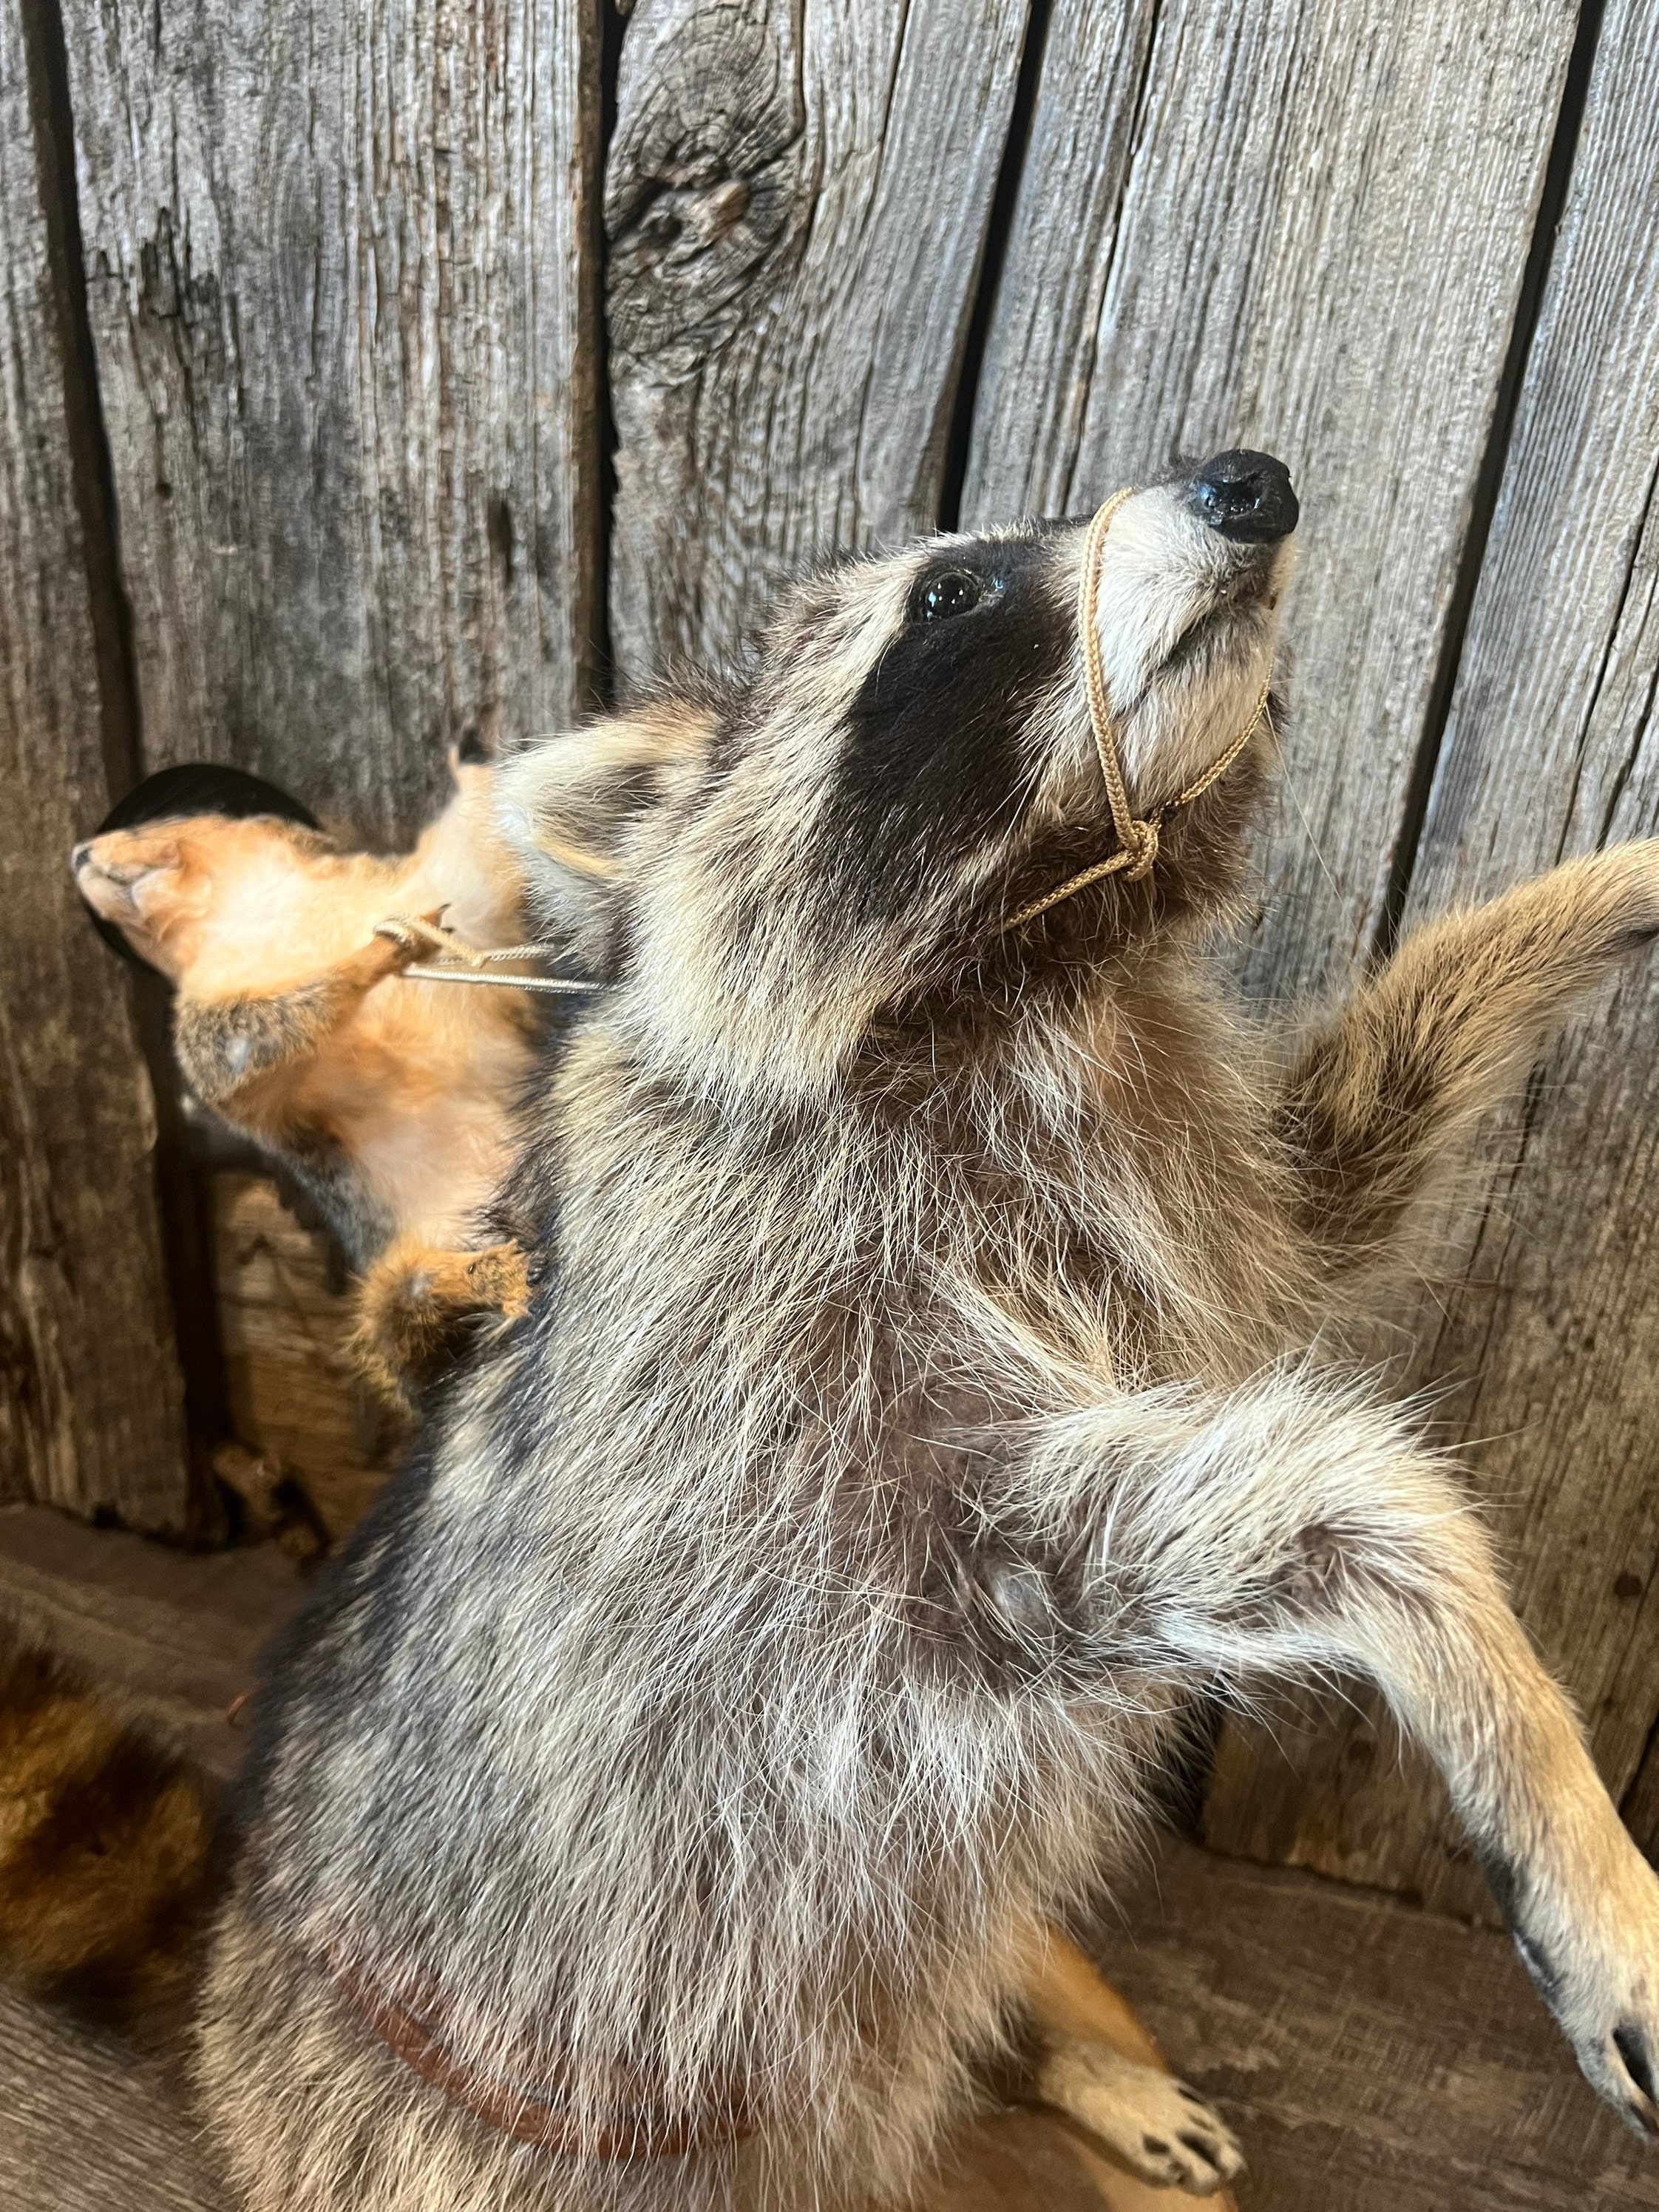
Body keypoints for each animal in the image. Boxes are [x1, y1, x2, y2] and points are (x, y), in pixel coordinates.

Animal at [197, 453, 1659, 2210]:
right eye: (950, 594)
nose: (1248, 480)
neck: (1040, 970)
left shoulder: (1183, 1174)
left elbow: (1336, 1175)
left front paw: (1607, 889)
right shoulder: (781, 1424)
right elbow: (1309, 1511)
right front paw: (1552, 1791)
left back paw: (1079, 2054)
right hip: (458, 2121)